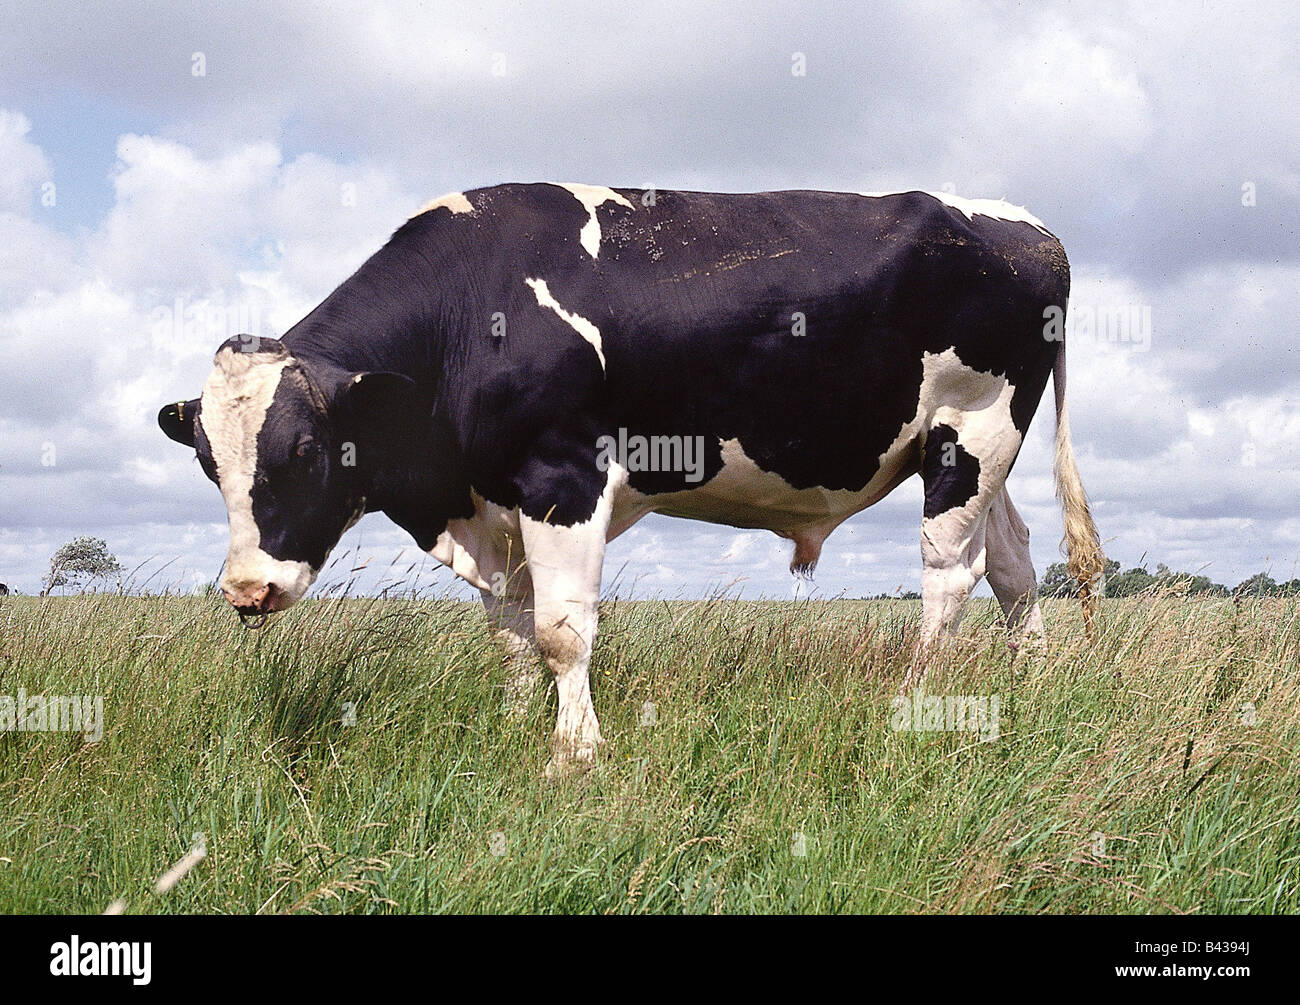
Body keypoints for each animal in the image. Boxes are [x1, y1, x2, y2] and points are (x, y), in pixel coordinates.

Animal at [158, 184, 1104, 775]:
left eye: (304, 451)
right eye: (208, 461)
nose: (246, 589)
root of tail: (1029, 225)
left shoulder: (561, 474)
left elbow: (560, 631)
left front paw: (573, 753)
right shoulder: (496, 505)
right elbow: (510, 629)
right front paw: (515, 722)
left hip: (972, 431)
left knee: (951, 574)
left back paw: (909, 702)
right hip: (971, 449)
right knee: (1015, 562)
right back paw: (1032, 683)